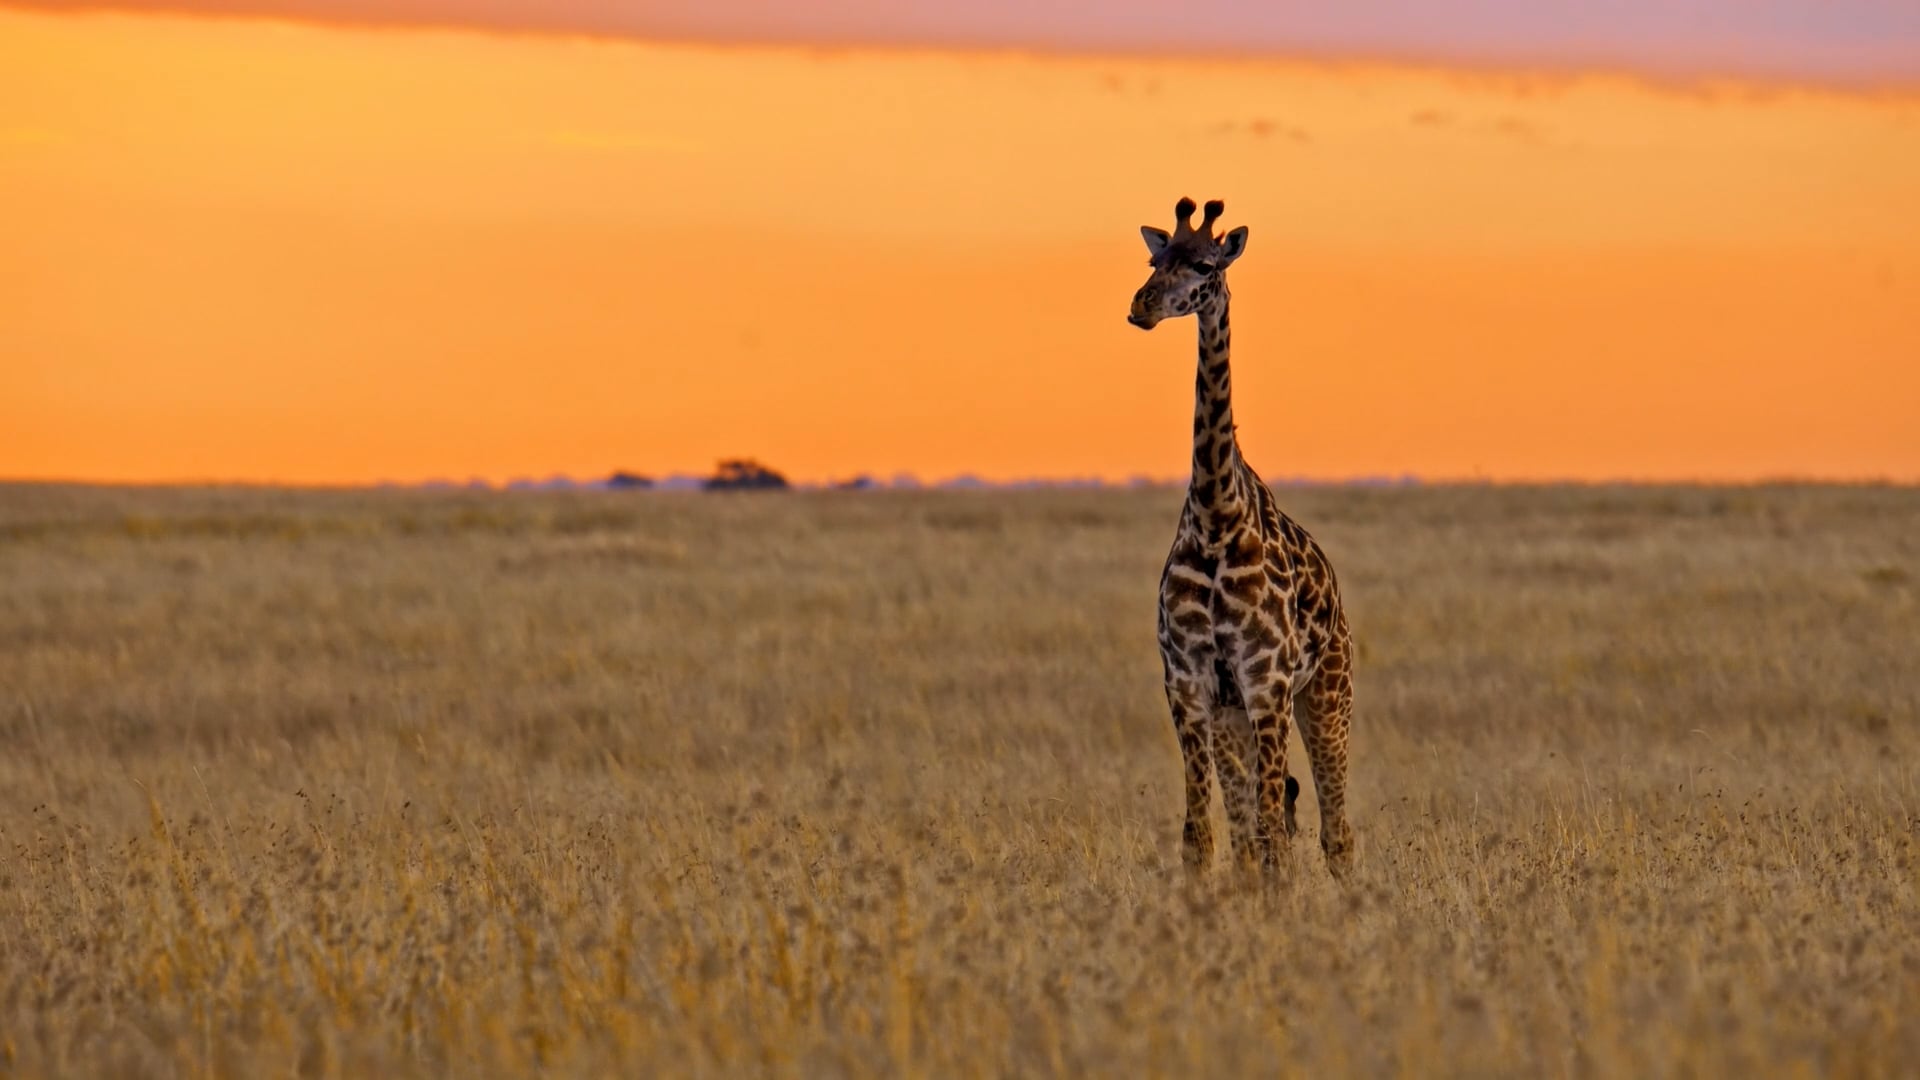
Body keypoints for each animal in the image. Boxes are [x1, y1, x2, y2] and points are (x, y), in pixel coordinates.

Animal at [1128, 197, 1355, 878]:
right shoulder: (1189, 684)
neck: (1214, 516)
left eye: (1205, 264)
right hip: (1235, 715)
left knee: (1335, 833)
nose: (1142, 306)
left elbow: (1275, 836)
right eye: (1154, 261)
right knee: (1252, 830)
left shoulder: (1266, 684)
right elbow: (1202, 838)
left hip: (1327, 691)